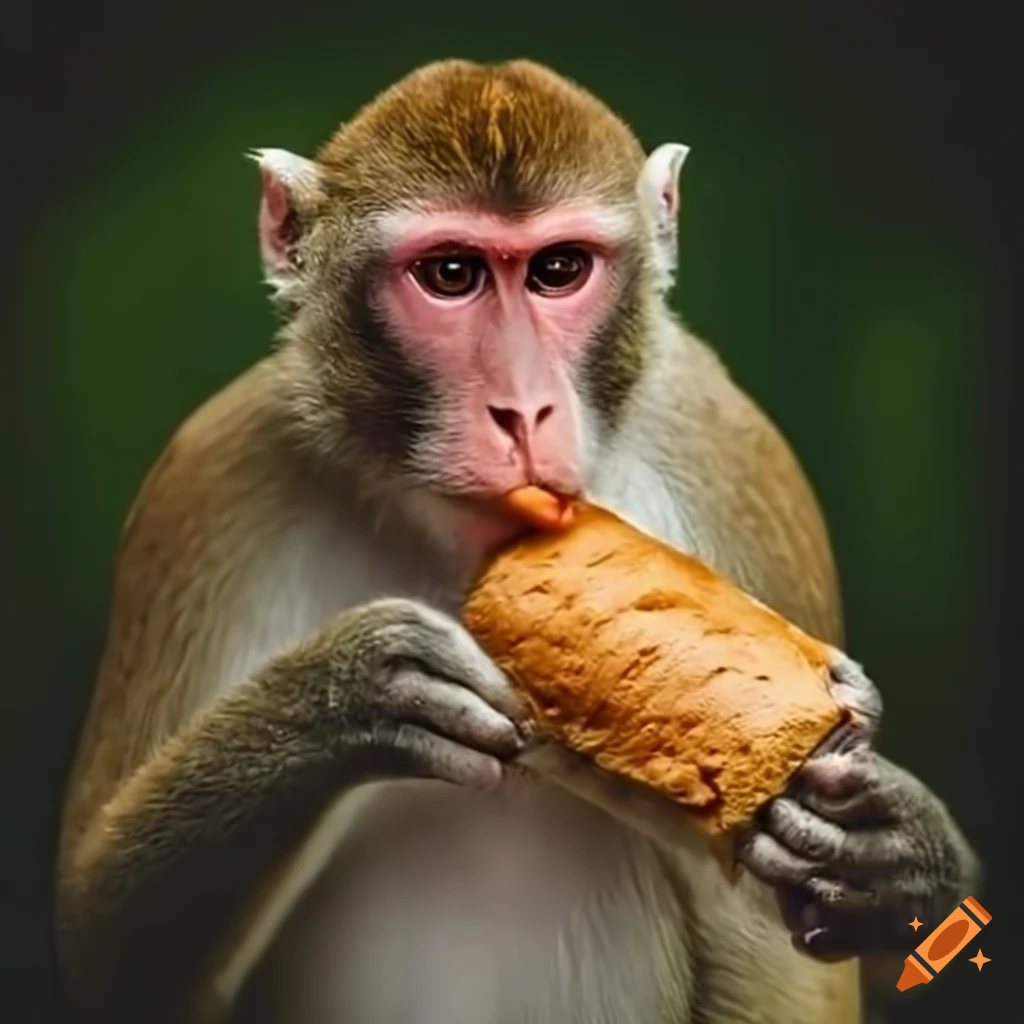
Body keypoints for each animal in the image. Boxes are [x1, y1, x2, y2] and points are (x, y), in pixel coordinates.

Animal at [54, 59, 979, 1024]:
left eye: (558, 269)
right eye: (452, 274)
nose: (524, 410)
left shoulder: (733, 450)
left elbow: (790, 960)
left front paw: (891, 852)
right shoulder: (211, 477)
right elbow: (105, 953)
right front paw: (353, 693)